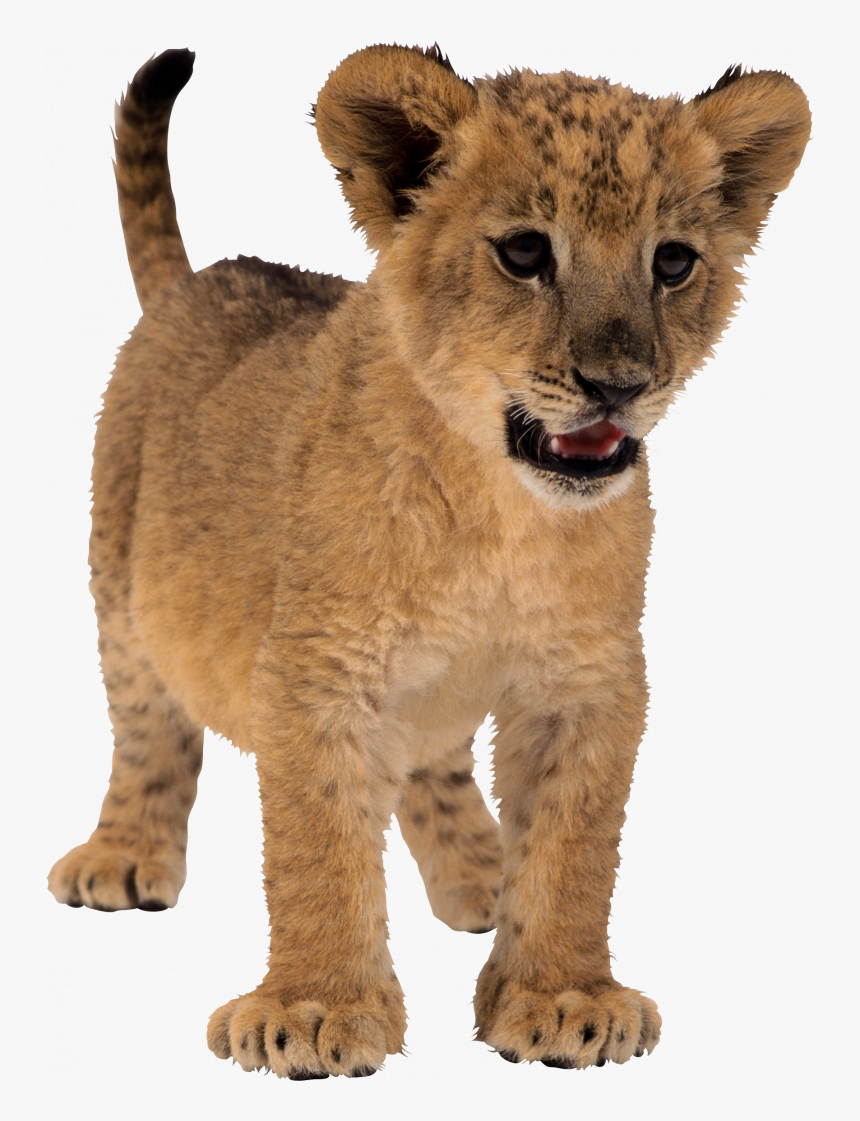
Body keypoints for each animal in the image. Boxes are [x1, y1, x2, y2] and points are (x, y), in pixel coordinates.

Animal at [47, 45, 810, 1078]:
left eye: (673, 261)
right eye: (525, 253)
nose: (620, 385)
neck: (501, 514)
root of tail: (200, 279)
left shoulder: (592, 677)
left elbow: (574, 845)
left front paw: (562, 996)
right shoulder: (314, 668)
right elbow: (317, 843)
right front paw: (315, 1010)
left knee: (434, 763)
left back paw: (482, 877)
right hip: (119, 581)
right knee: (146, 725)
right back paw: (123, 854)